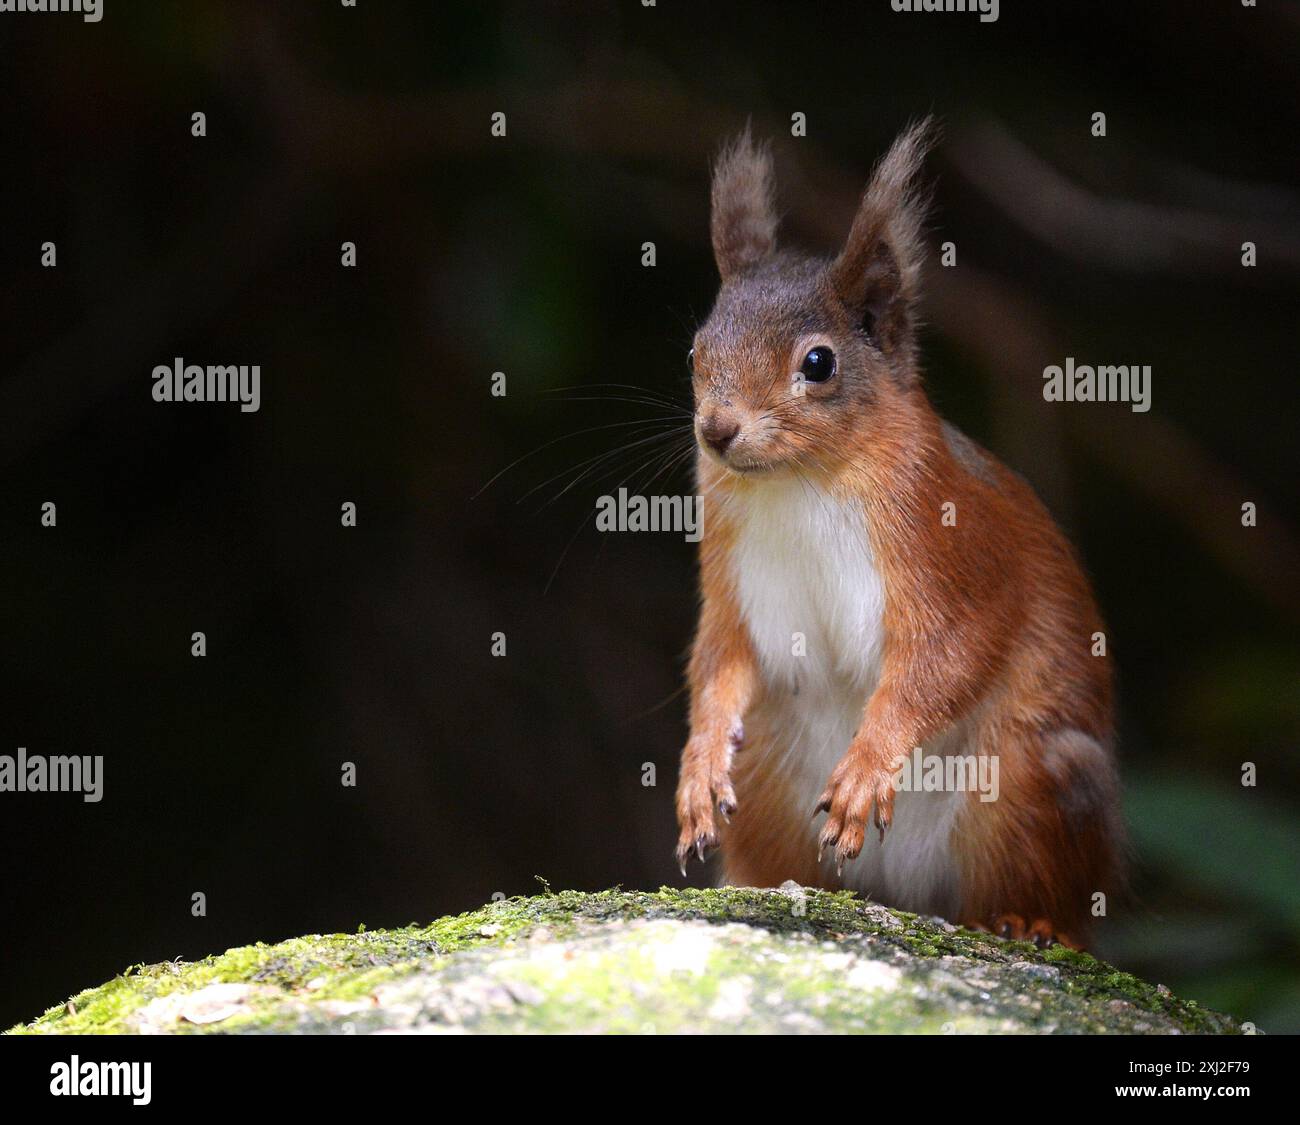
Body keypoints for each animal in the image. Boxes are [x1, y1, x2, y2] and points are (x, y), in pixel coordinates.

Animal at [674, 120, 1123, 949]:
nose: (716, 430)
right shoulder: (730, 574)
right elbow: (720, 660)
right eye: (695, 350)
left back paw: (1030, 920)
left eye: (819, 363)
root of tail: (905, 897)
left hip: (1031, 777)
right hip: (771, 776)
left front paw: (866, 769)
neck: (802, 482)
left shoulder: (948, 547)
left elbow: (945, 656)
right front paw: (697, 768)